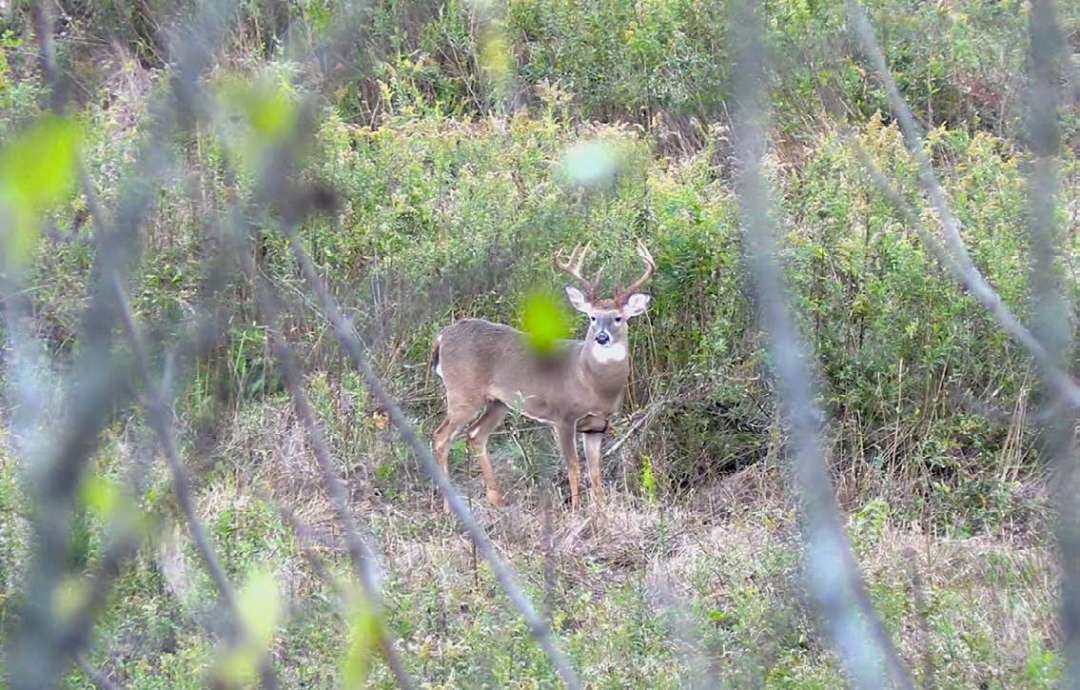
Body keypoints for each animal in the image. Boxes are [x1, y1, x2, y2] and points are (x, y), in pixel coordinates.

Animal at [430, 241, 655, 511]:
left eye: (618, 318)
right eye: (592, 317)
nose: (602, 337)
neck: (591, 383)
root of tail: (442, 337)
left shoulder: (597, 425)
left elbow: (595, 471)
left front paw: (600, 511)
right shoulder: (563, 416)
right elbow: (574, 466)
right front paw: (576, 510)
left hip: (499, 402)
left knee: (475, 435)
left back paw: (497, 499)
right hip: (462, 392)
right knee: (440, 437)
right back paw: (448, 506)